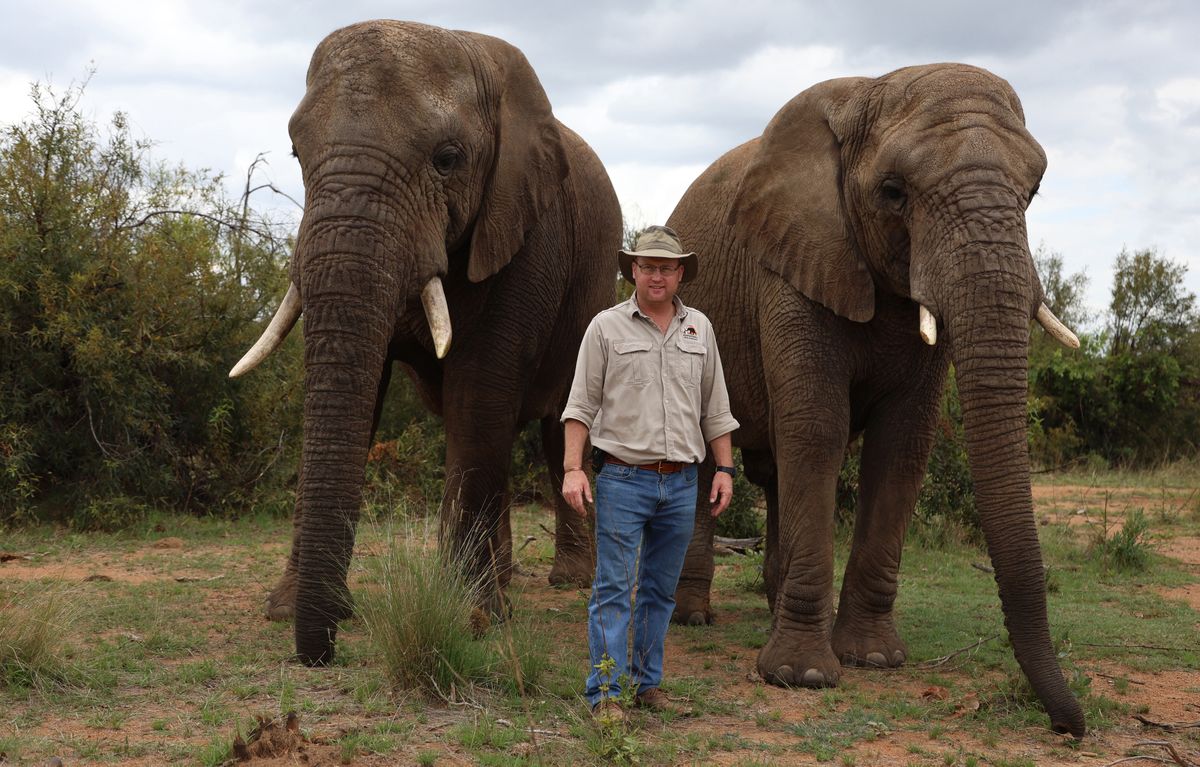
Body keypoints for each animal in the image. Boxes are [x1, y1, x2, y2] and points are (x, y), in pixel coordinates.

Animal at [230, 20, 621, 665]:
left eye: (448, 159)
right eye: (296, 154)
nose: (321, 652)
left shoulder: (525, 231)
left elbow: (479, 391)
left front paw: (470, 615)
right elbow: (366, 397)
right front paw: (285, 608)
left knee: (553, 423)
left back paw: (568, 581)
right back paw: (504, 579)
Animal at [666, 63, 1086, 736]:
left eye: (1035, 190)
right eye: (893, 192)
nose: (1071, 725)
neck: (870, 91)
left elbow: (903, 441)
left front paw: (874, 659)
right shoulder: (790, 261)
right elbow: (818, 426)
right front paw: (802, 676)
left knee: (776, 472)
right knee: (712, 461)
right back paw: (692, 618)